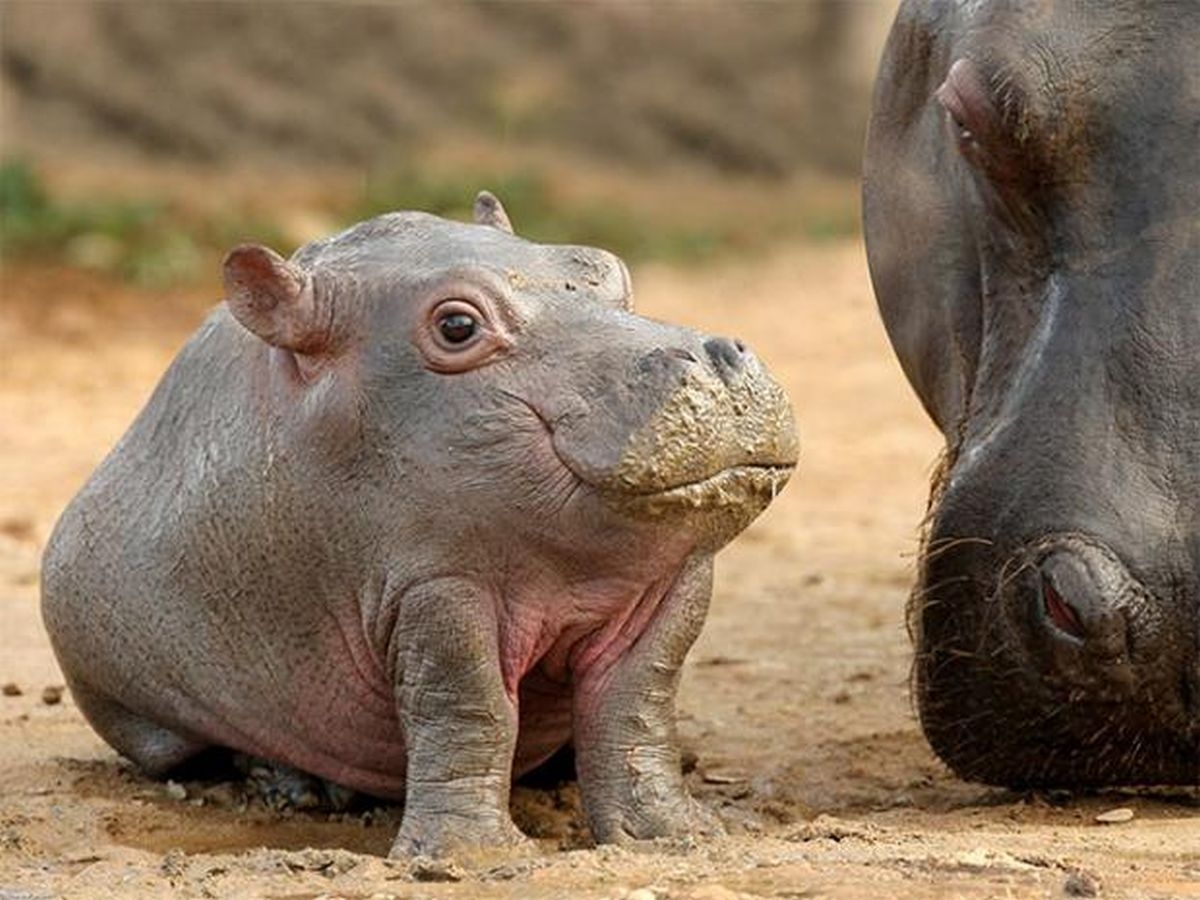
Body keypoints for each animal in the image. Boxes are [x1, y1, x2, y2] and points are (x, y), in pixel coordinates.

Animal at [40, 193, 797, 856]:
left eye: (609, 267)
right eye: (457, 326)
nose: (717, 356)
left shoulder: (667, 587)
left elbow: (637, 708)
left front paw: (679, 836)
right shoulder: (434, 588)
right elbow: (468, 707)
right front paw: (473, 855)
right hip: (139, 704)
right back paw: (302, 789)